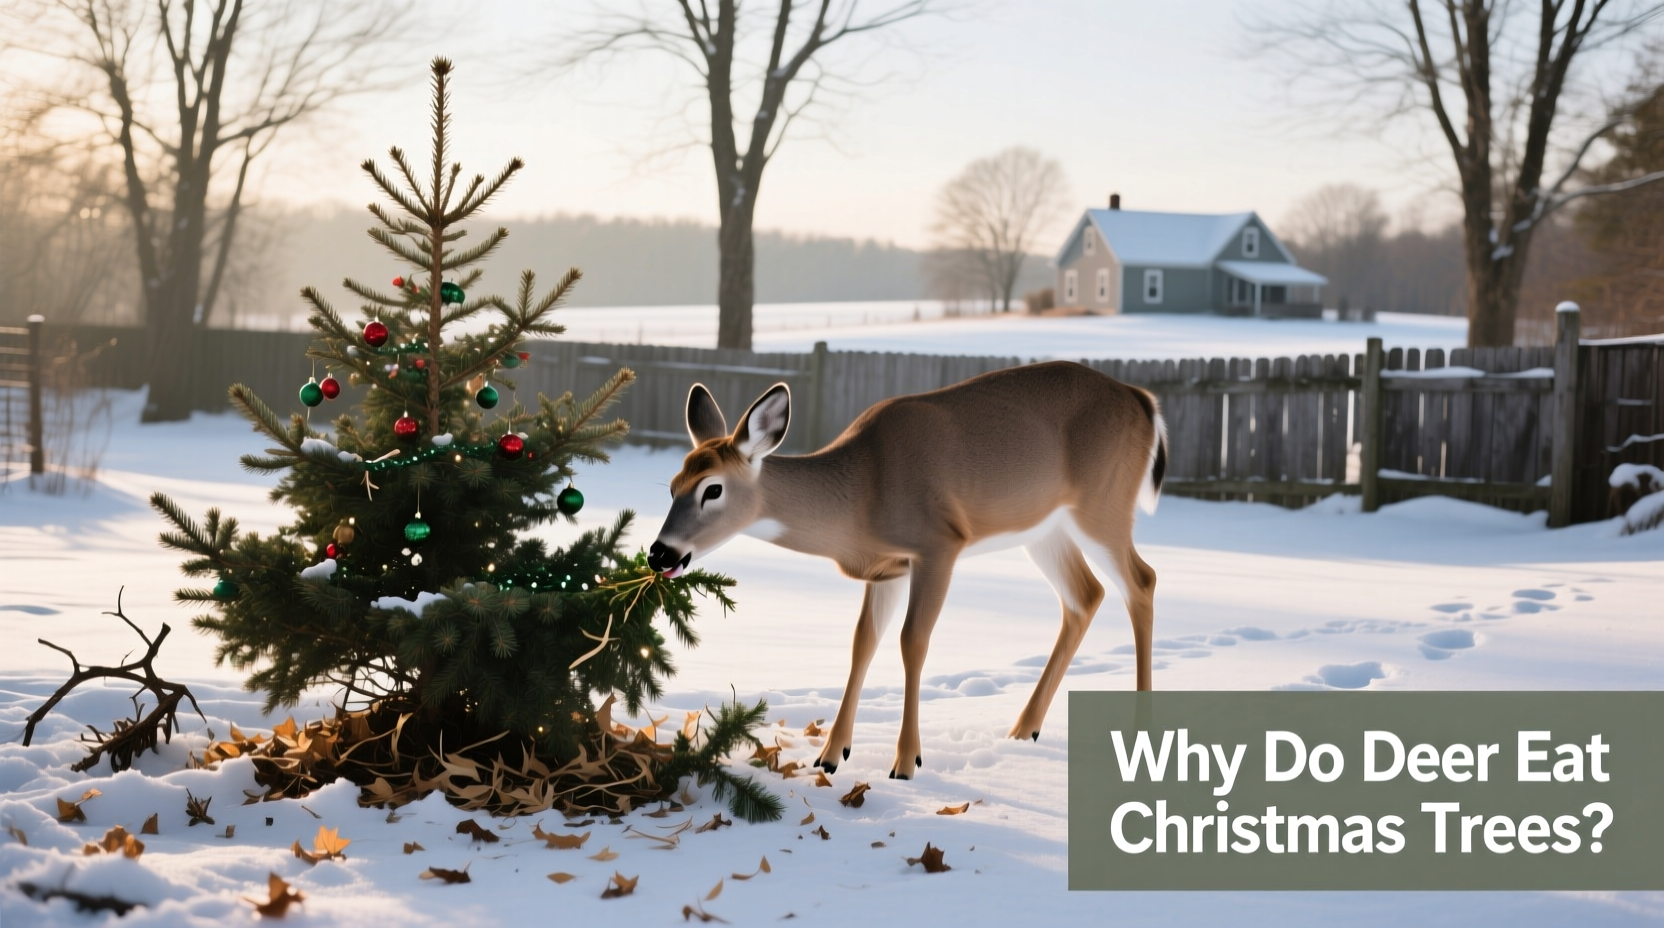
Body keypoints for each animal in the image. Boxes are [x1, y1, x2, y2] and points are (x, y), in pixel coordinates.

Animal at [647, 361, 1166, 780]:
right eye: (672, 485)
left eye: (712, 489)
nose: (660, 554)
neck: (861, 495)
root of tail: (1143, 401)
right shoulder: (888, 568)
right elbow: (864, 641)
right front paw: (831, 755)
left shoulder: (938, 544)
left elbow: (912, 641)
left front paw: (906, 761)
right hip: (1045, 529)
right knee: (1086, 595)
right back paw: (1024, 729)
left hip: (1103, 504)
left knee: (1142, 580)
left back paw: (1143, 732)